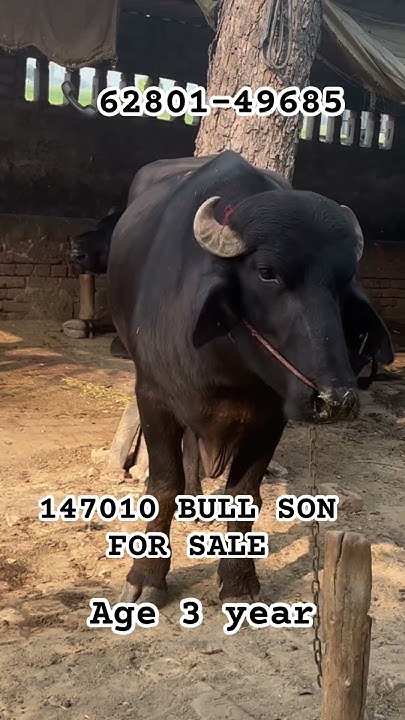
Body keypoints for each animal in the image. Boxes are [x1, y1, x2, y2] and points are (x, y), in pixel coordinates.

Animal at [107, 149, 394, 607]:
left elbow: (243, 494)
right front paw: (146, 576)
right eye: (266, 272)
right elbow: (163, 484)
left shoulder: (273, 415)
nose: (335, 400)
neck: (227, 367)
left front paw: (238, 580)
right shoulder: (152, 396)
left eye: (344, 277)